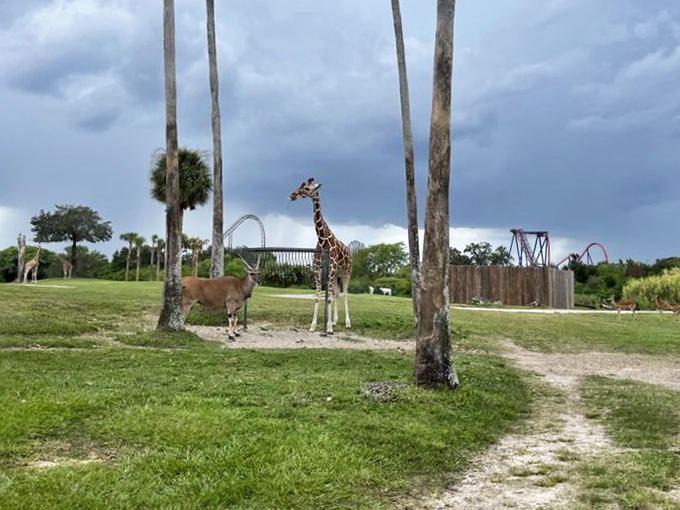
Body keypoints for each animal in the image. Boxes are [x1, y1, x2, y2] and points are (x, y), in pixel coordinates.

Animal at [289, 177, 352, 334]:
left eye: (307, 188)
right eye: (301, 184)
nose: (292, 195)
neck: (323, 240)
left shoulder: (330, 269)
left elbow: (327, 298)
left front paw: (328, 328)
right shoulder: (317, 269)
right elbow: (318, 297)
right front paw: (313, 325)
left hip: (346, 272)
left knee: (345, 293)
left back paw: (347, 323)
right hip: (336, 275)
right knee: (336, 293)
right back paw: (335, 321)